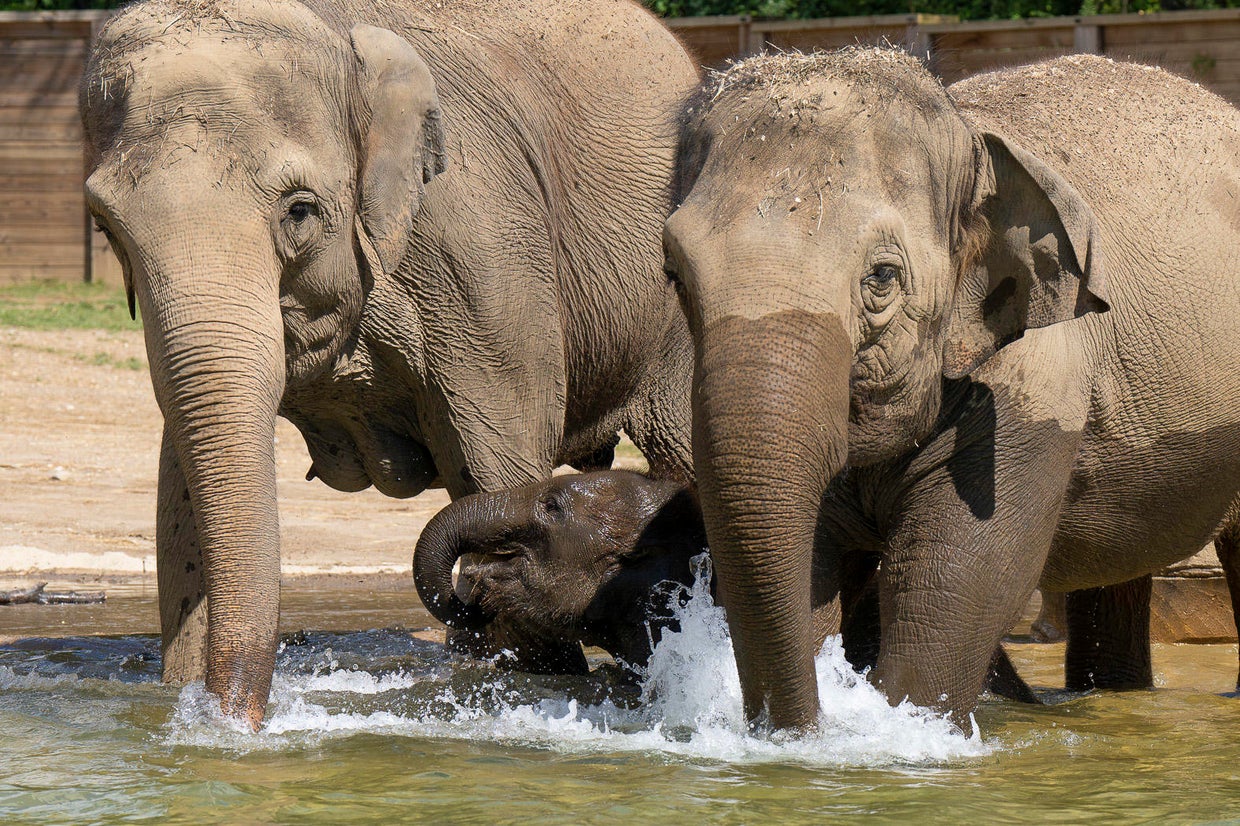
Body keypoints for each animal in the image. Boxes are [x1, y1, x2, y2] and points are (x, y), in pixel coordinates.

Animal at [81, 0, 698, 728]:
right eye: (105, 228)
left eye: (300, 210)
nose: (236, 723)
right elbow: (179, 500)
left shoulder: (485, 260)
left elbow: (497, 464)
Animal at [662, 49, 1240, 730]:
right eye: (675, 275)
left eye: (882, 277)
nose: (805, 729)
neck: (969, 134)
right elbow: (815, 567)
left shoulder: (1037, 370)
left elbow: (957, 576)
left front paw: (903, 727)